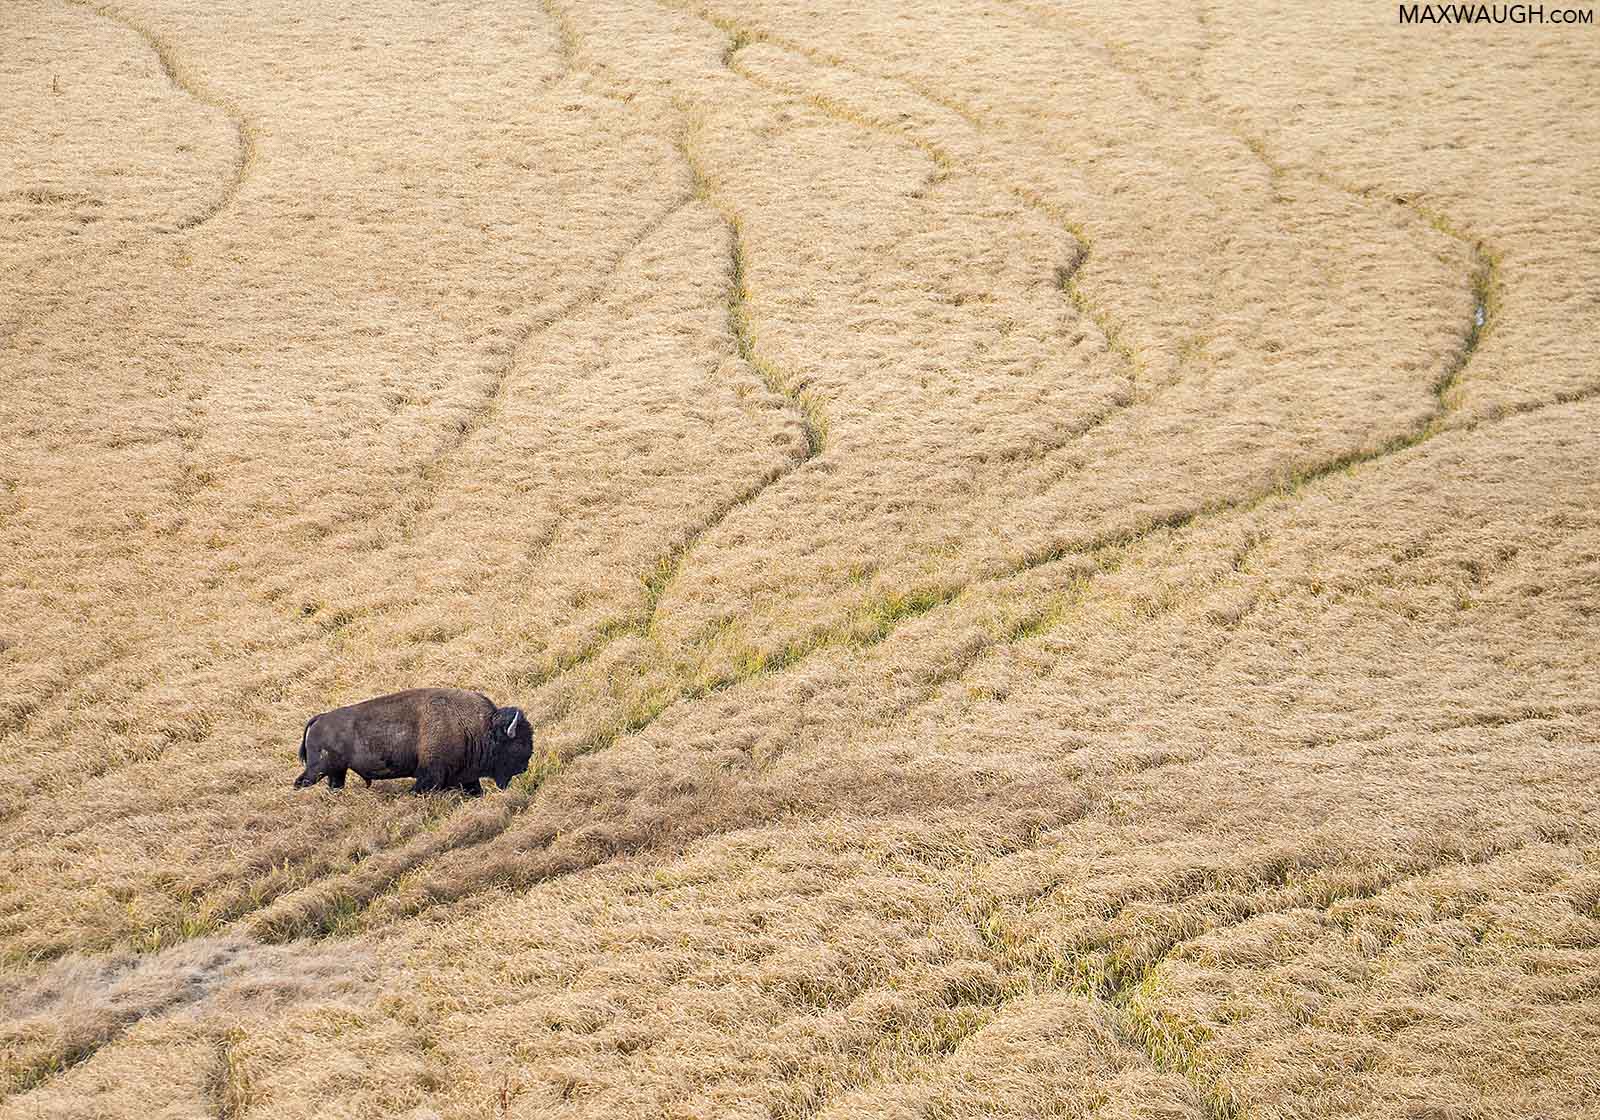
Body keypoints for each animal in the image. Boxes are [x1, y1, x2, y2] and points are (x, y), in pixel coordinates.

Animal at [294, 688, 533, 796]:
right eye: (518, 744)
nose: (524, 767)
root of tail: (320, 718)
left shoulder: (466, 777)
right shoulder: (430, 774)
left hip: (337, 772)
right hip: (319, 769)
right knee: (301, 782)